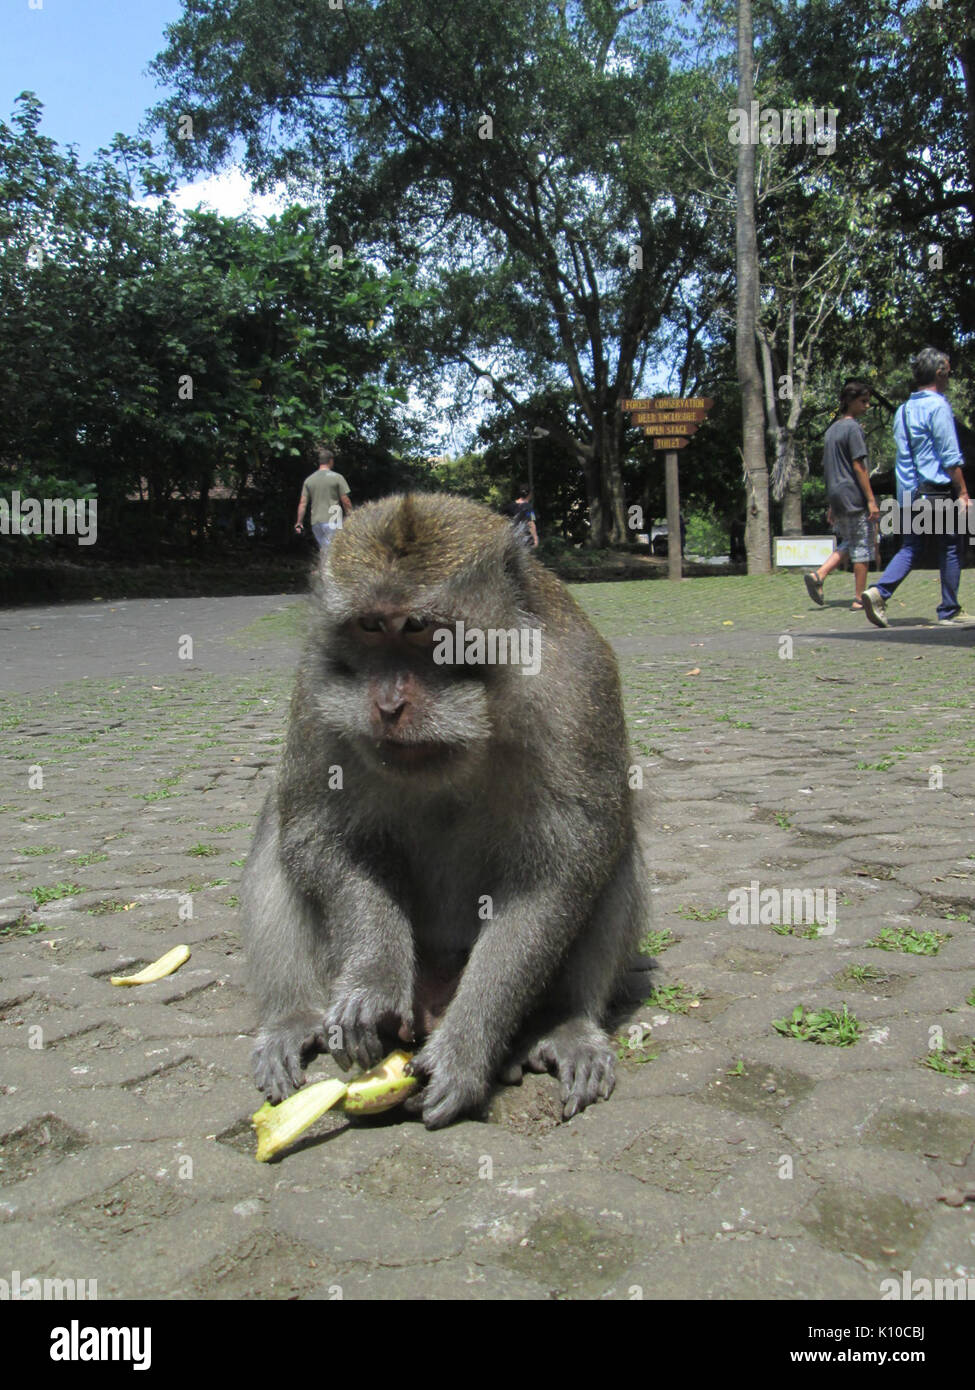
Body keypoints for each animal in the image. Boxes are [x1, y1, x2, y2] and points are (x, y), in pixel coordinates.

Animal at [240, 492, 648, 1129]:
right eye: (369, 626)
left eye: (419, 628)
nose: (387, 704)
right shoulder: (316, 684)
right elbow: (316, 835)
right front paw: (375, 980)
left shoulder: (577, 685)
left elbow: (559, 876)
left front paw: (465, 1050)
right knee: (274, 829)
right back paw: (292, 1017)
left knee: (615, 841)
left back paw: (566, 1025)